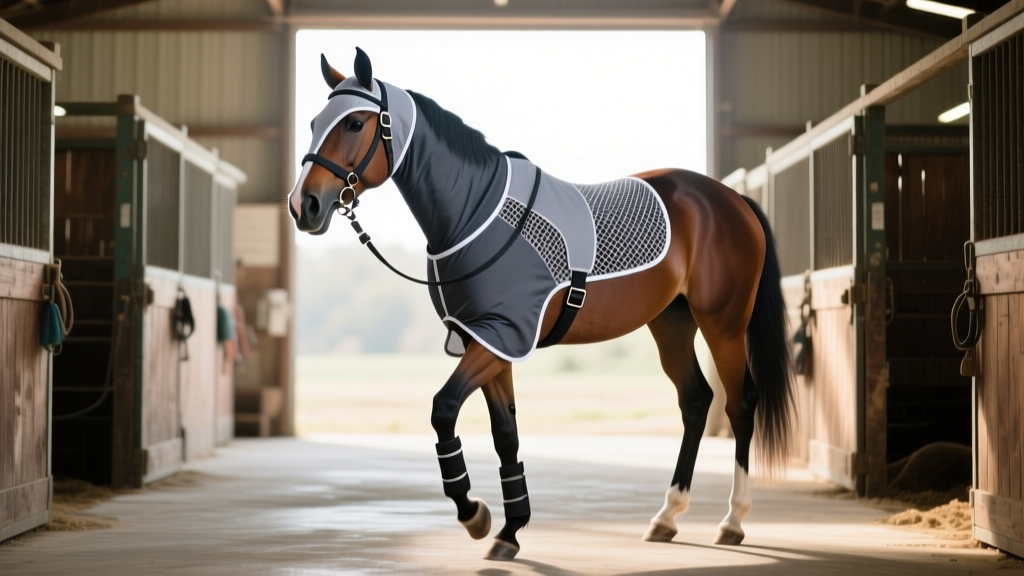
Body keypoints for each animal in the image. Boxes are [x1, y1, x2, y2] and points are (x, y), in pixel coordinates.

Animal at [288, 47, 795, 561]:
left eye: (354, 123)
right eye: (313, 123)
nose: (304, 205)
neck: (476, 213)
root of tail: (733, 199)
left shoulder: (499, 337)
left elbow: (444, 409)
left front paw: (474, 515)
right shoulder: (488, 343)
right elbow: (505, 435)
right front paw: (508, 530)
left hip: (723, 325)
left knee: (740, 404)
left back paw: (732, 521)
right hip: (672, 324)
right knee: (695, 401)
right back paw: (666, 516)